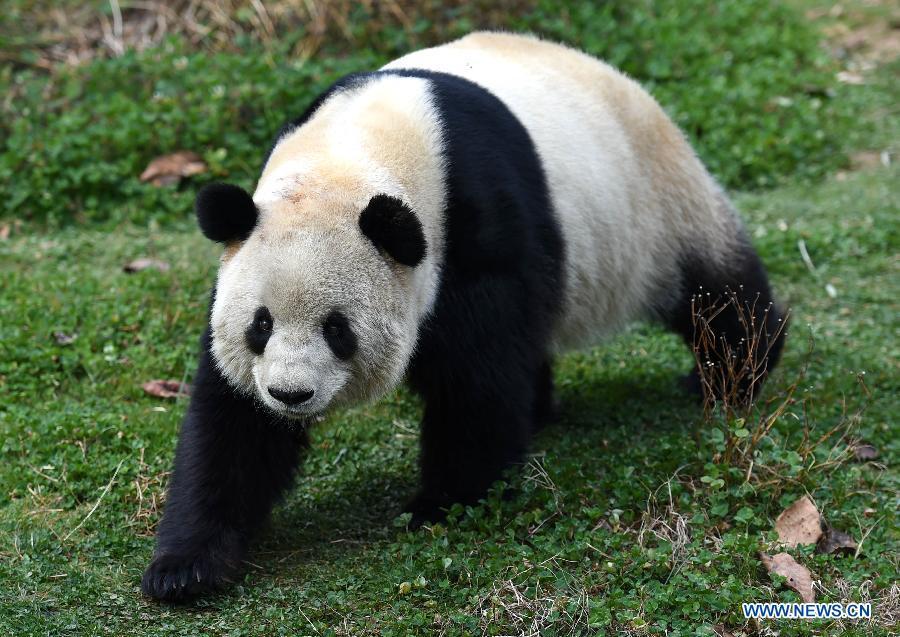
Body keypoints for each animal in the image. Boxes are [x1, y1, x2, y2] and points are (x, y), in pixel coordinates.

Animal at [142, 32, 785, 601]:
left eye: (338, 329)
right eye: (261, 325)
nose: (289, 395)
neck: (357, 150)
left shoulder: (473, 227)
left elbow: (477, 377)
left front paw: (440, 504)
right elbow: (232, 423)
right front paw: (185, 568)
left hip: (654, 205)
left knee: (715, 295)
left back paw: (729, 374)